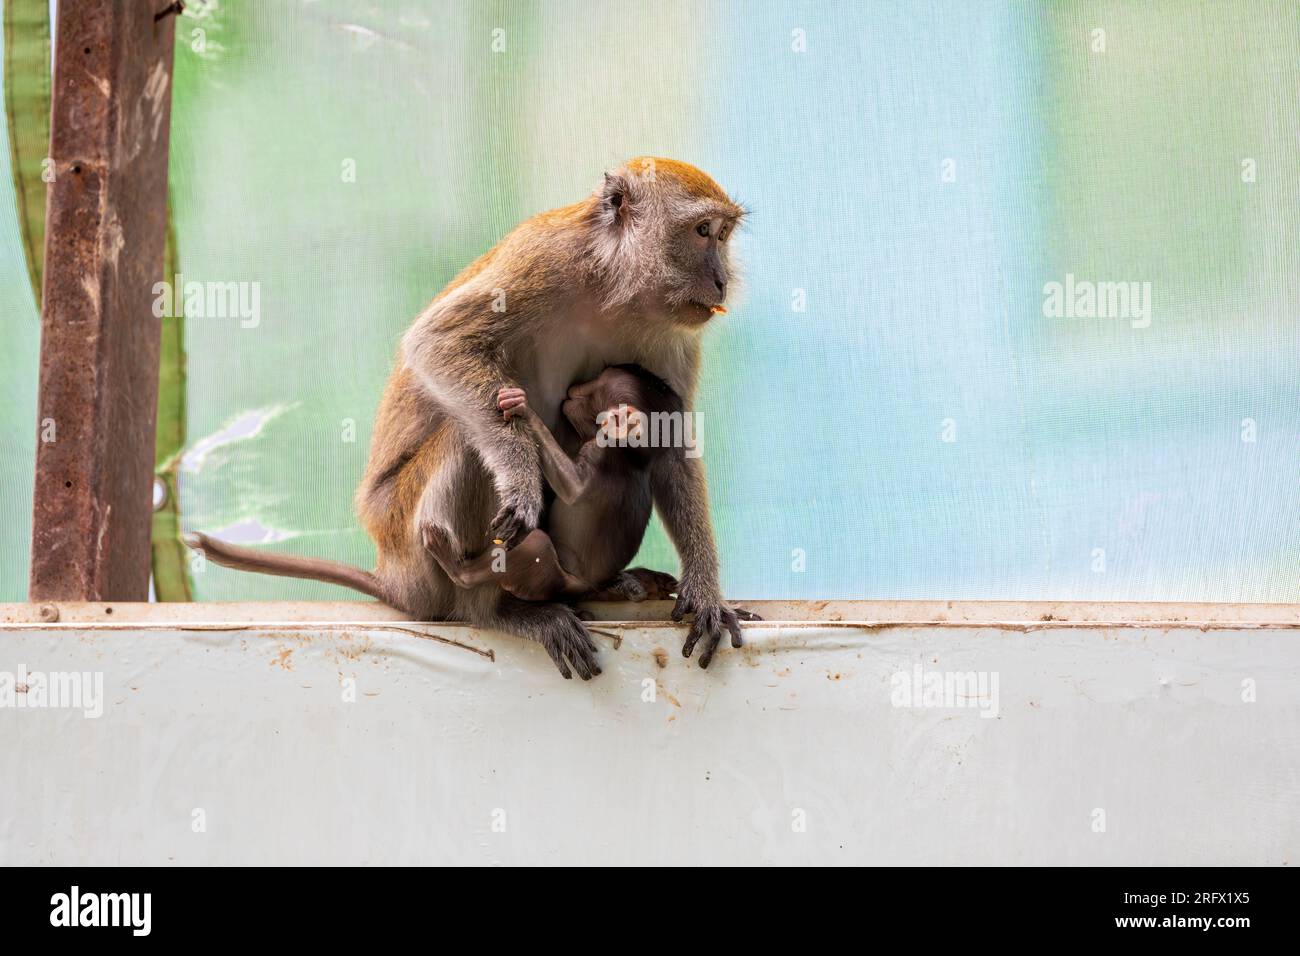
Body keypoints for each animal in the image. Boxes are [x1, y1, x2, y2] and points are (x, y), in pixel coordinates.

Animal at [187, 158, 749, 679]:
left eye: (722, 234)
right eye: (702, 231)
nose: (721, 280)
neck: (612, 285)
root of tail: (393, 574)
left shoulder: (671, 335)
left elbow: (670, 441)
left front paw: (705, 593)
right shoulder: (544, 261)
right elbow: (438, 344)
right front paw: (521, 479)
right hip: (408, 536)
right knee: (466, 433)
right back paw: (494, 610)